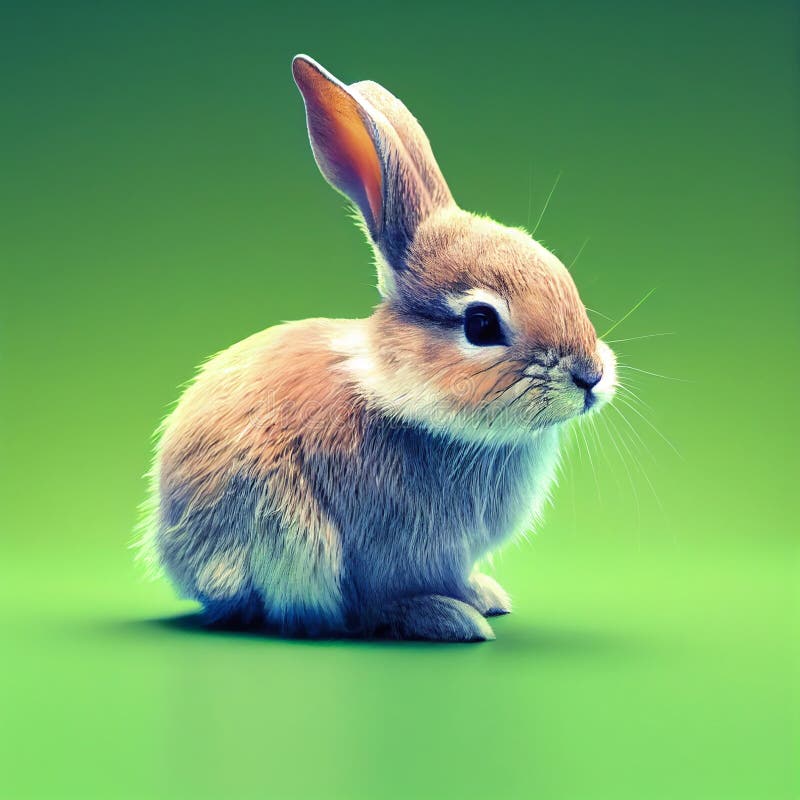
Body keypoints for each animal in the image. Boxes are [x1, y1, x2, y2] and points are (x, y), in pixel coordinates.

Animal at [138, 54, 617, 642]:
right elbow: (371, 602)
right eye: (481, 324)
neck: (401, 393)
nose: (590, 378)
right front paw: (453, 615)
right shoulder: (375, 553)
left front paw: (484, 596)